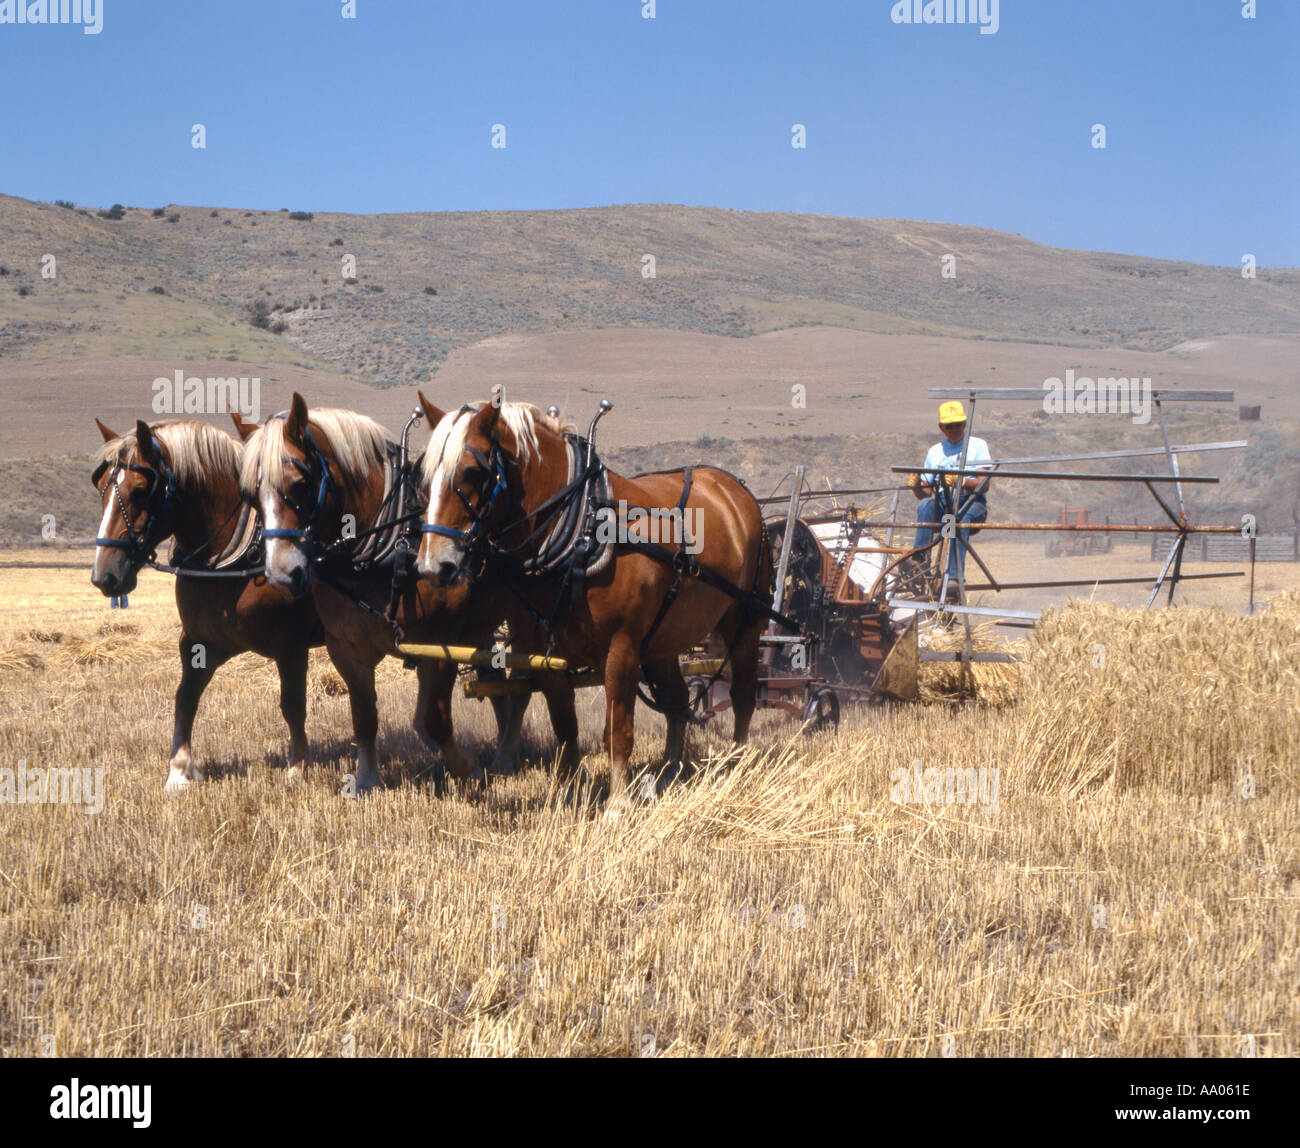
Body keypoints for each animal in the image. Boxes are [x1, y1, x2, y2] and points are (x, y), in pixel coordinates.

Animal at [90, 416, 324, 791]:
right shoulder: (199, 643)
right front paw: (179, 770)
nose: (104, 575)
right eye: (99, 486)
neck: (231, 554)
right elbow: (185, 699)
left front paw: (297, 767)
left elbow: (292, 705)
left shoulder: (292, 646)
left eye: (140, 490)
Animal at [239, 393, 578, 794]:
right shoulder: (346, 648)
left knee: (524, 685)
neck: (385, 542)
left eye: (300, 483)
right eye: (249, 495)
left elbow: (435, 719)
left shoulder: (442, 645)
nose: (281, 573)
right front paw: (366, 779)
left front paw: (467, 770)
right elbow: (365, 717)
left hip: (524, 622)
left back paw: (504, 757)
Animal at [414, 397, 772, 813]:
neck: (581, 528)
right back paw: (670, 768)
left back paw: (736, 763)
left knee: (743, 694)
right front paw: (570, 790)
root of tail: (734, 490)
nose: (433, 565)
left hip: (744, 621)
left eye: (473, 472)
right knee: (677, 701)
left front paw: (617, 804)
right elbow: (565, 726)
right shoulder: (545, 655)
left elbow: (617, 731)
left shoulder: (622, 650)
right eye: (424, 478)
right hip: (662, 643)